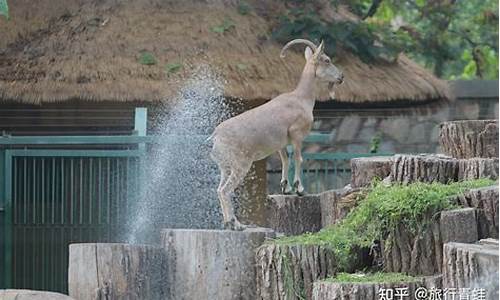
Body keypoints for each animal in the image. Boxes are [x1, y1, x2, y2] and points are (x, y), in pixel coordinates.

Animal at [208, 39, 344, 230]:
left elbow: (285, 160)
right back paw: (238, 225)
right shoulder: (296, 135)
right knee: (225, 190)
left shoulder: (280, 143)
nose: (341, 77)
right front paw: (300, 189)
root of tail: (215, 137)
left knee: (219, 190)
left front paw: (285, 188)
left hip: (225, 168)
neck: (301, 99)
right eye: (327, 59)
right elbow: (298, 159)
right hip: (240, 165)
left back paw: (229, 224)